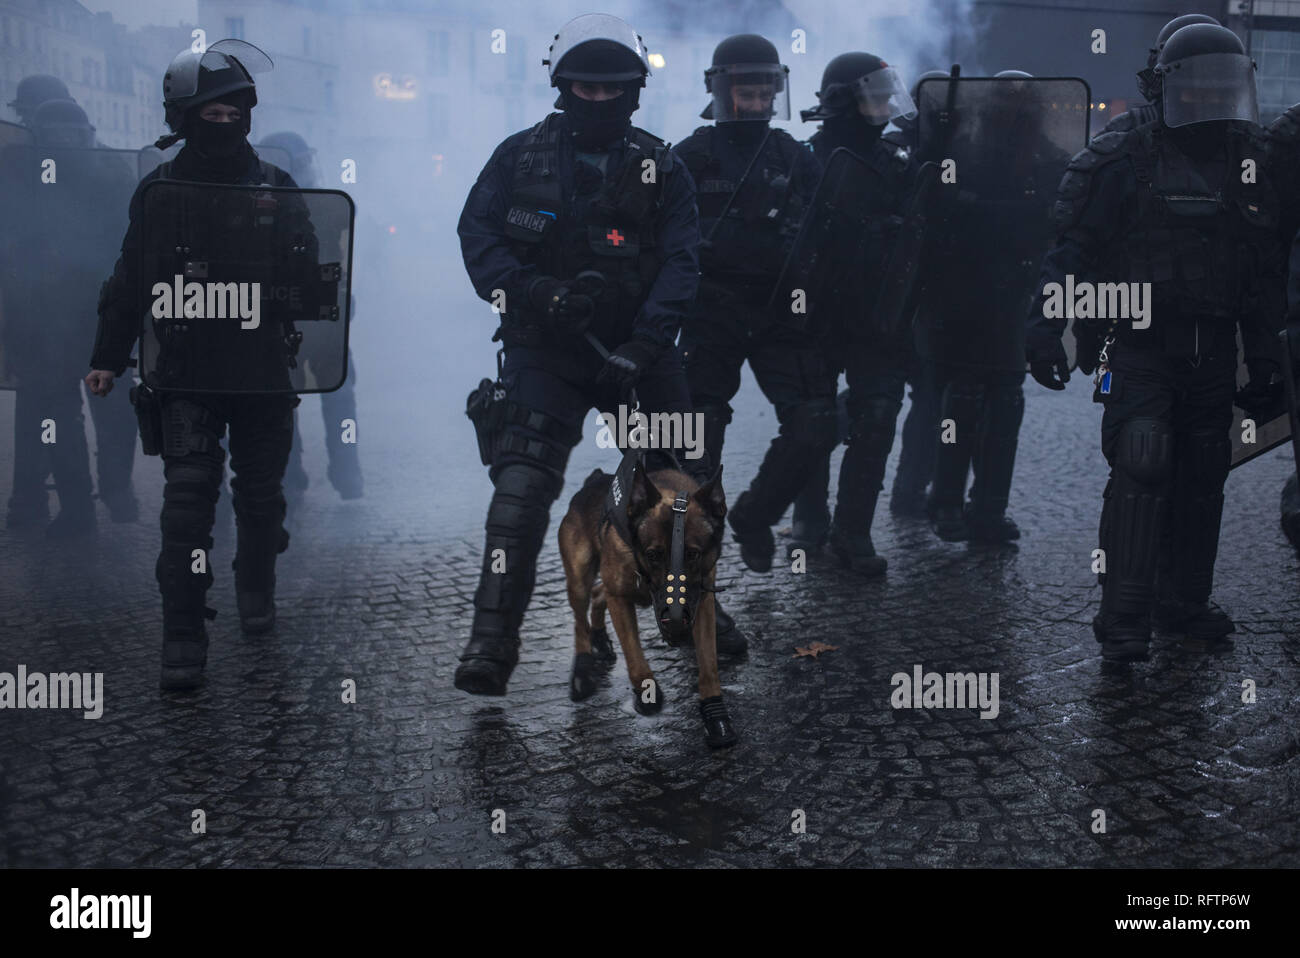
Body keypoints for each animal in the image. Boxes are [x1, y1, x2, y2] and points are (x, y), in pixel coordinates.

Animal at [559, 457, 743, 748]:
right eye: (653, 555)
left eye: (693, 554)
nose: (677, 623)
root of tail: (592, 481)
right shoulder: (620, 599)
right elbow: (634, 653)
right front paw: (647, 690)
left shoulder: (702, 603)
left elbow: (709, 665)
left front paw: (715, 712)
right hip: (579, 580)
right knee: (580, 618)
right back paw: (583, 670)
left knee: (599, 593)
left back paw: (600, 638)